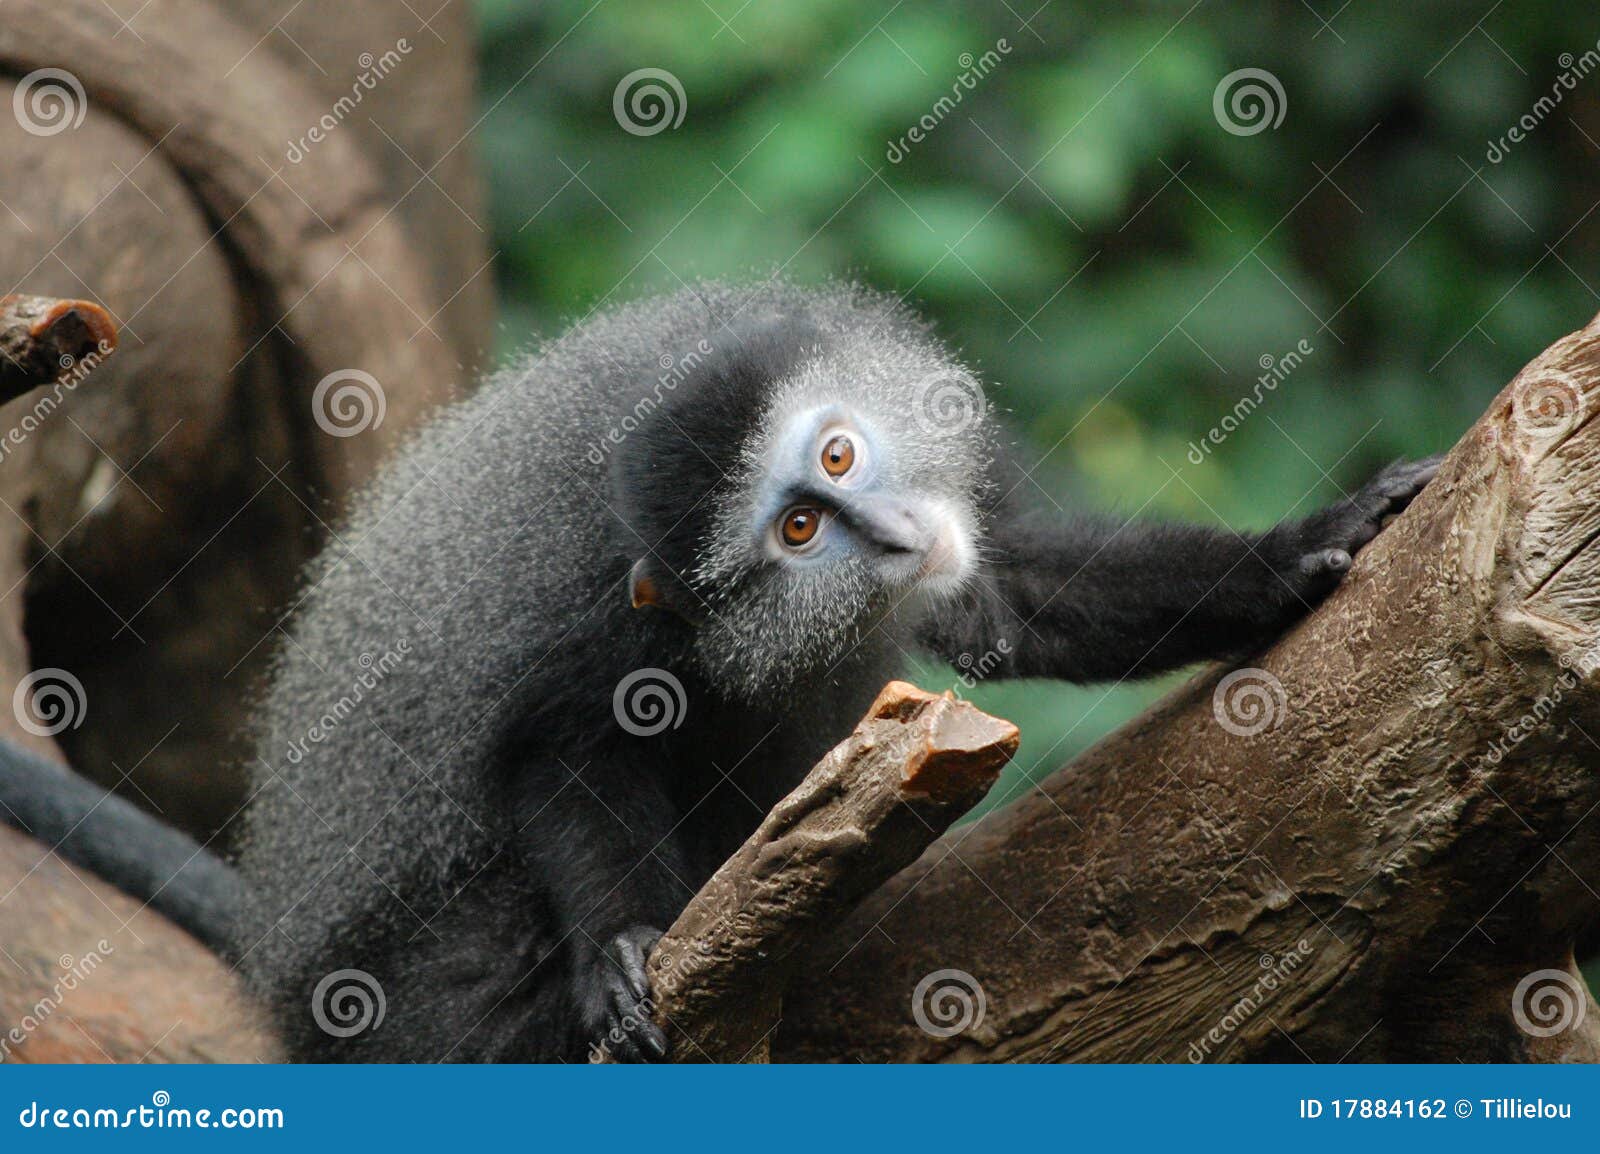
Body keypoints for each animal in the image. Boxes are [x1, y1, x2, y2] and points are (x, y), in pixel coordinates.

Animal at [0, 280, 1438, 1062]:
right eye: (796, 529)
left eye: (841, 456)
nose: (895, 533)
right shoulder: (598, 605)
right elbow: (559, 748)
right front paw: (625, 948)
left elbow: (1012, 597)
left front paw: (1305, 545)